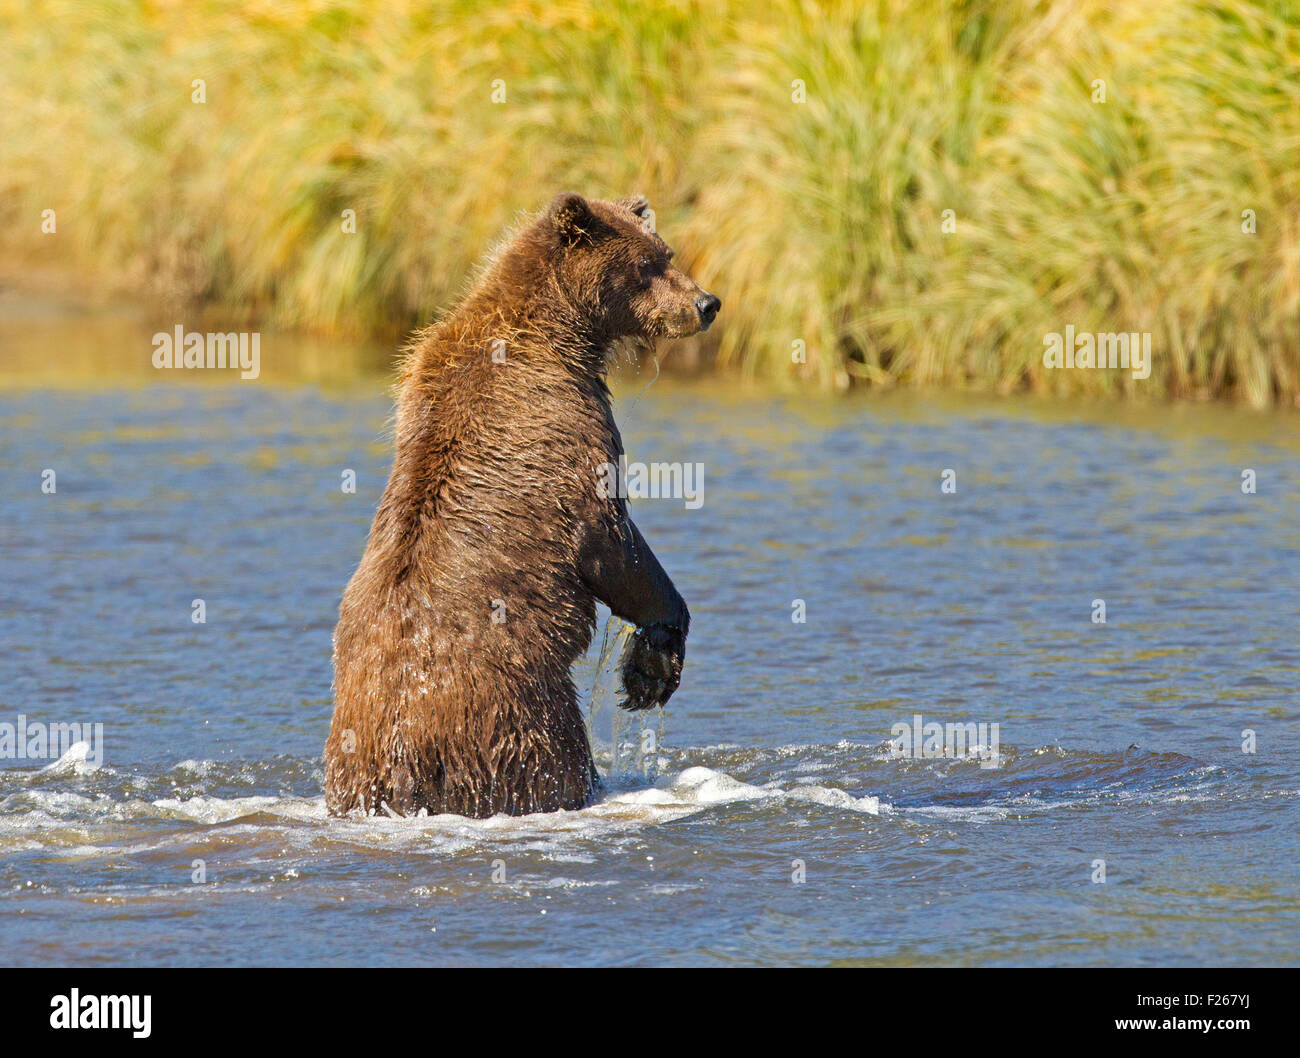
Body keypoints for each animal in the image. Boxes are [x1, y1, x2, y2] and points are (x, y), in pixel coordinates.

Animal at [324, 192, 720, 818]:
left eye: (668, 252)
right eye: (646, 264)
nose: (707, 303)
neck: (561, 332)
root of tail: (400, 753)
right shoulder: (565, 421)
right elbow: (610, 538)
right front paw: (652, 662)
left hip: (353, 755)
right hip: (518, 712)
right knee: (552, 759)